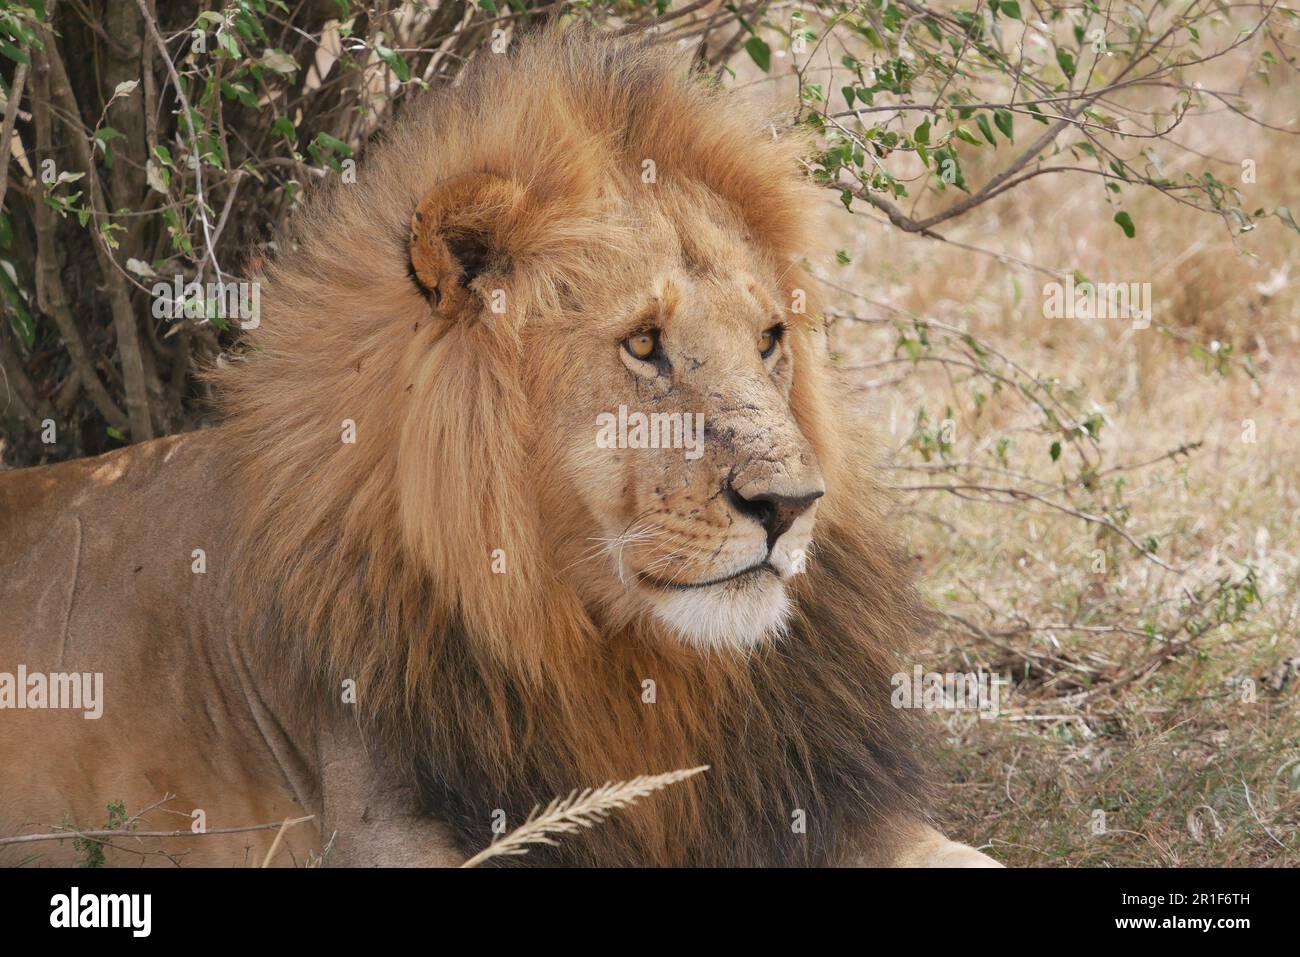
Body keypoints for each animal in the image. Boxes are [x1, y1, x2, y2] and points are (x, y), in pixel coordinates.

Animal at [0, 29, 999, 868]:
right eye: (644, 343)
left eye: (768, 340)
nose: (790, 506)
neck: (622, 658)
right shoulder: (387, 826)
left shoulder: (819, 795)